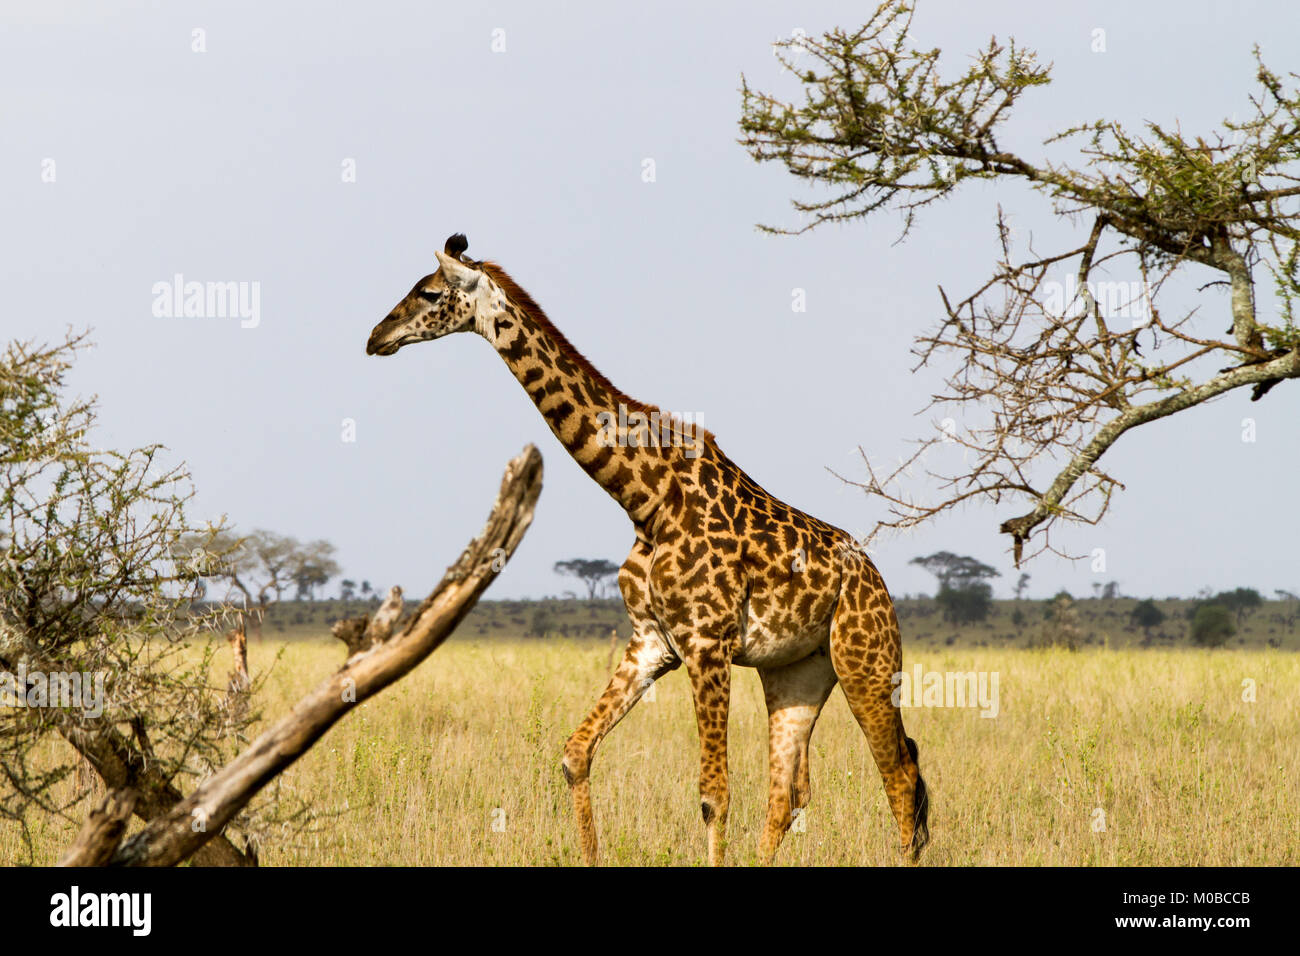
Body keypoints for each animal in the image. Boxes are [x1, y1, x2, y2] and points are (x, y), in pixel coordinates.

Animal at [366, 234, 929, 866]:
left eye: (429, 292)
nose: (376, 336)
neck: (645, 498)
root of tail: (878, 582)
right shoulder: (652, 643)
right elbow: (575, 753)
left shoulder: (707, 643)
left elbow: (714, 794)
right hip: (796, 671)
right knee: (788, 792)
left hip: (865, 660)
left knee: (899, 774)